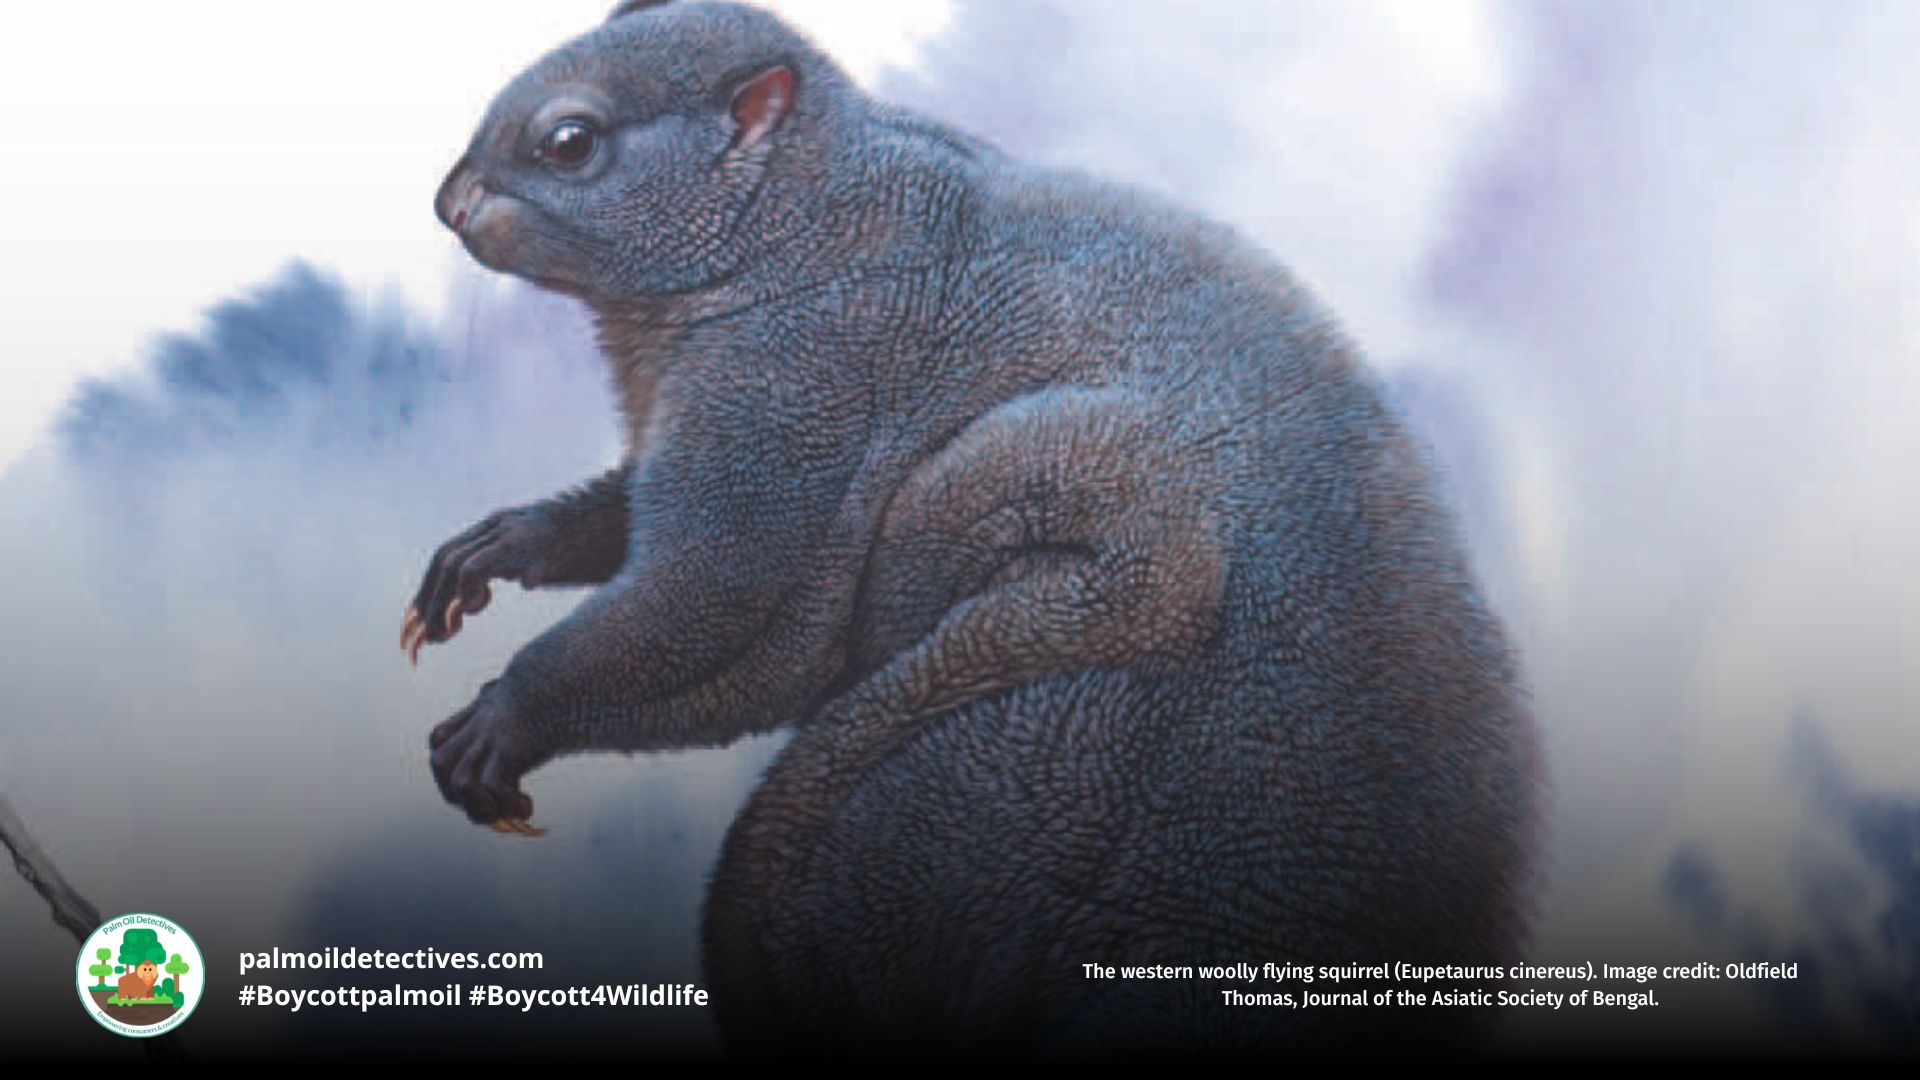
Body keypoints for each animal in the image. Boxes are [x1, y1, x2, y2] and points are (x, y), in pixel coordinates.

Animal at [406, 0, 1543, 1057]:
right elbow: (615, 526)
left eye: (568, 141)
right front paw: (501, 547)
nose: (447, 200)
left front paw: (506, 717)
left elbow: (705, 600)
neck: (797, 225)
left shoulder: (792, 380)